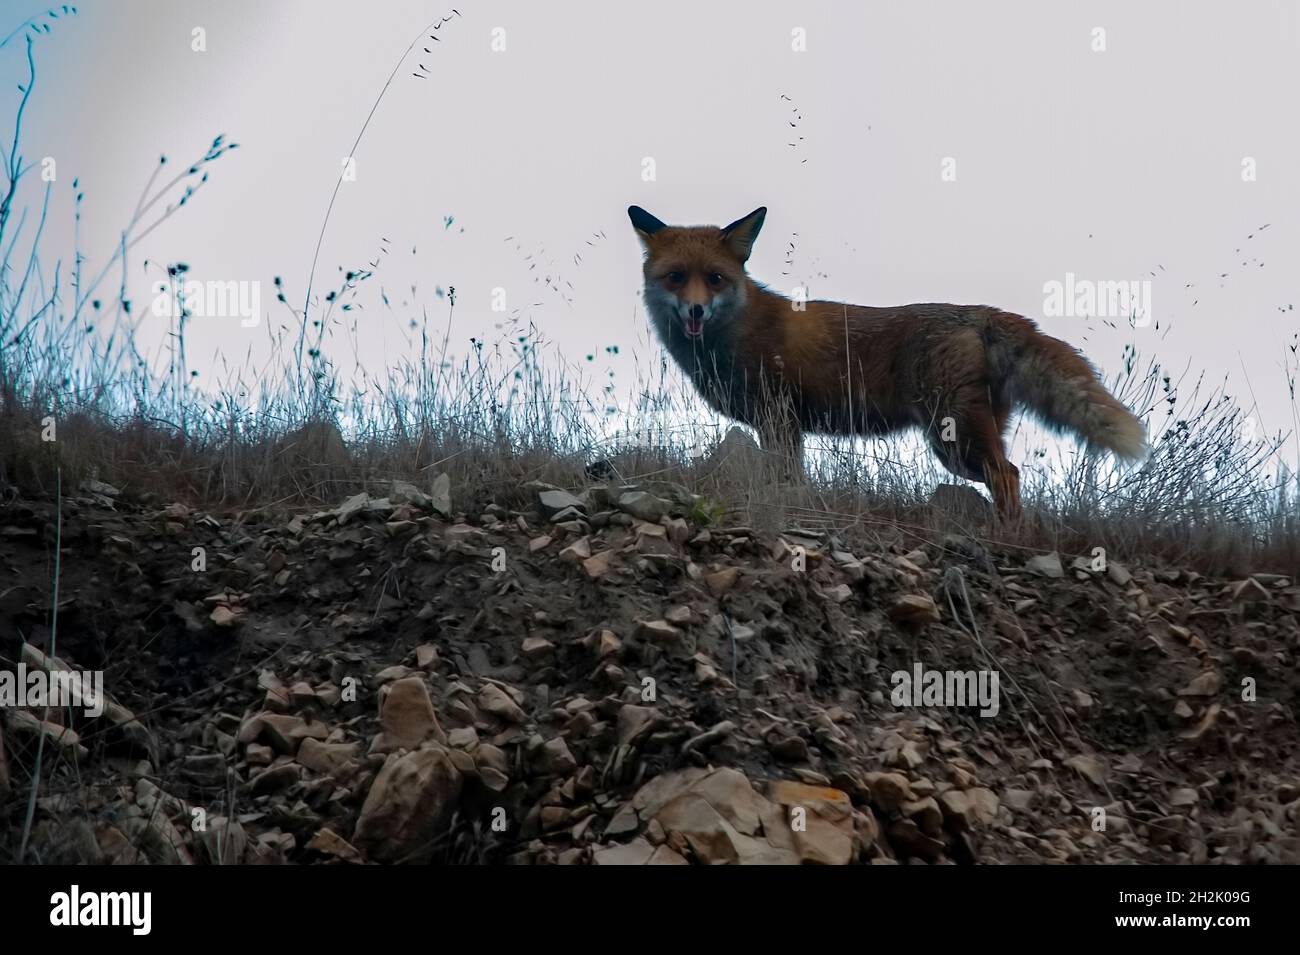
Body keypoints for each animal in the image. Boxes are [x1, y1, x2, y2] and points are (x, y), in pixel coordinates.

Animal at [627, 204, 1148, 518]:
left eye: (715, 278)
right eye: (677, 277)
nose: (696, 311)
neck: (736, 331)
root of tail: (983, 312)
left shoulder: (780, 417)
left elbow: (786, 477)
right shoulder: (779, 423)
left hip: (953, 438)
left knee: (1008, 475)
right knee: (1012, 472)